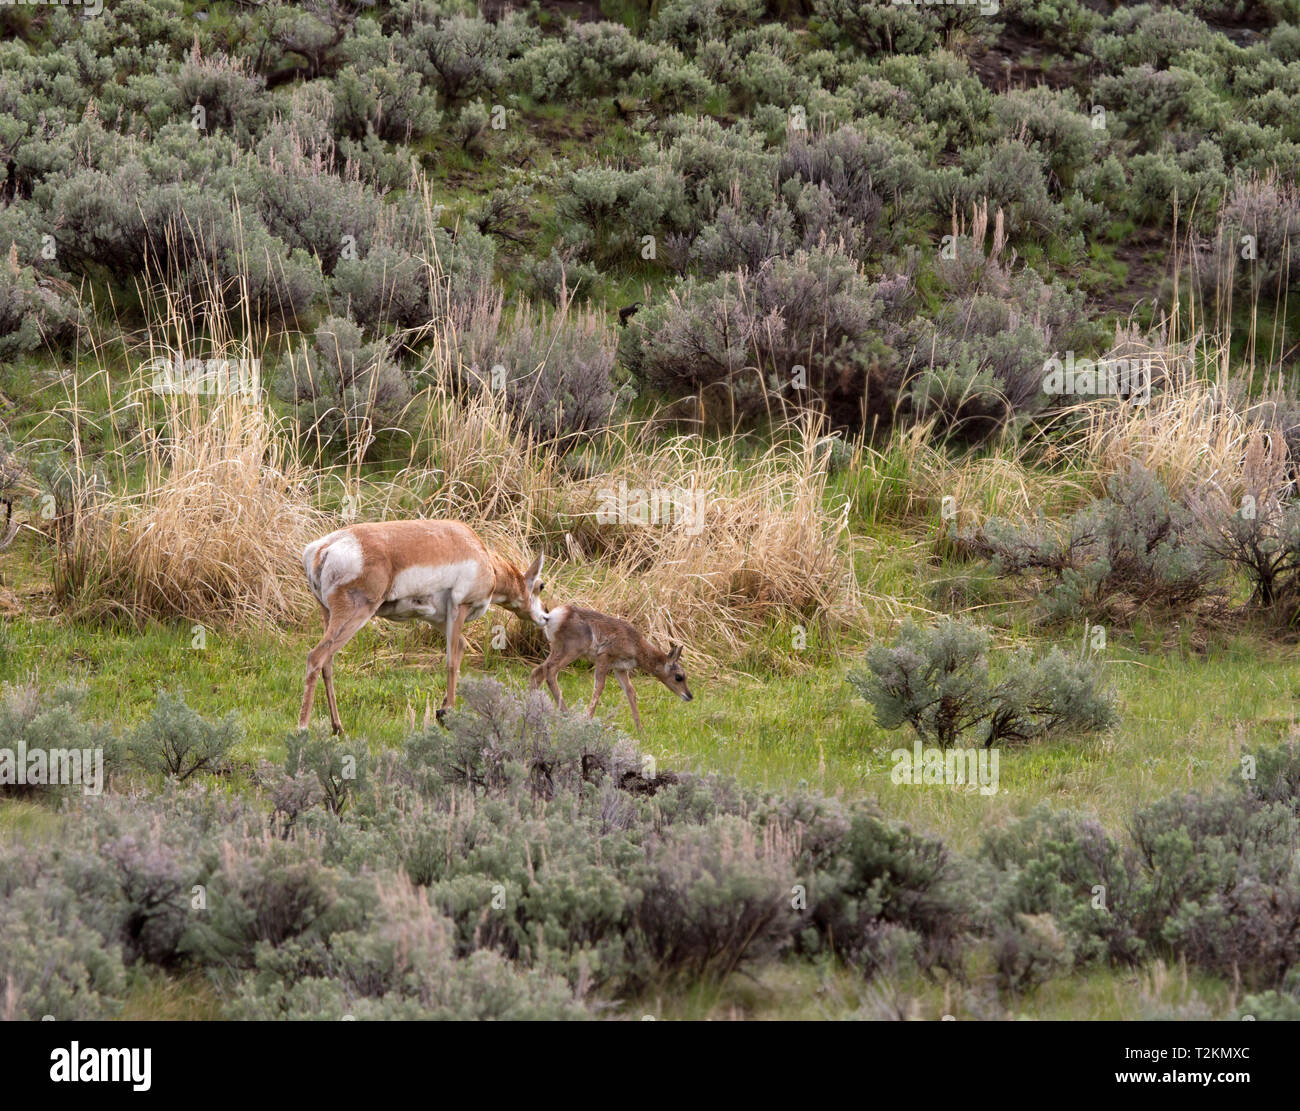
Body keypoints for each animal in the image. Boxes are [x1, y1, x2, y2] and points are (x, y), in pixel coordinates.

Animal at [299, 520, 546, 733]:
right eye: (541, 586)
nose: (545, 616)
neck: (482, 555)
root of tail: (324, 548)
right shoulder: (459, 608)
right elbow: (451, 662)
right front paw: (448, 713)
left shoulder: (438, 620)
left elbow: (460, 647)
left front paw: (442, 709)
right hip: (355, 614)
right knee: (315, 656)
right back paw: (303, 728)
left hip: (329, 615)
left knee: (327, 662)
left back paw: (337, 727)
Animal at [530, 604, 693, 731]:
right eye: (679, 677)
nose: (689, 696)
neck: (636, 645)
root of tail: (553, 615)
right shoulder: (604, 657)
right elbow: (599, 687)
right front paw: (587, 718)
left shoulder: (619, 669)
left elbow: (631, 692)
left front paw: (640, 730)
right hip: (570, 651)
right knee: (550, 671)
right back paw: (566, 712)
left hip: (556, 650)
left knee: (537, 671)